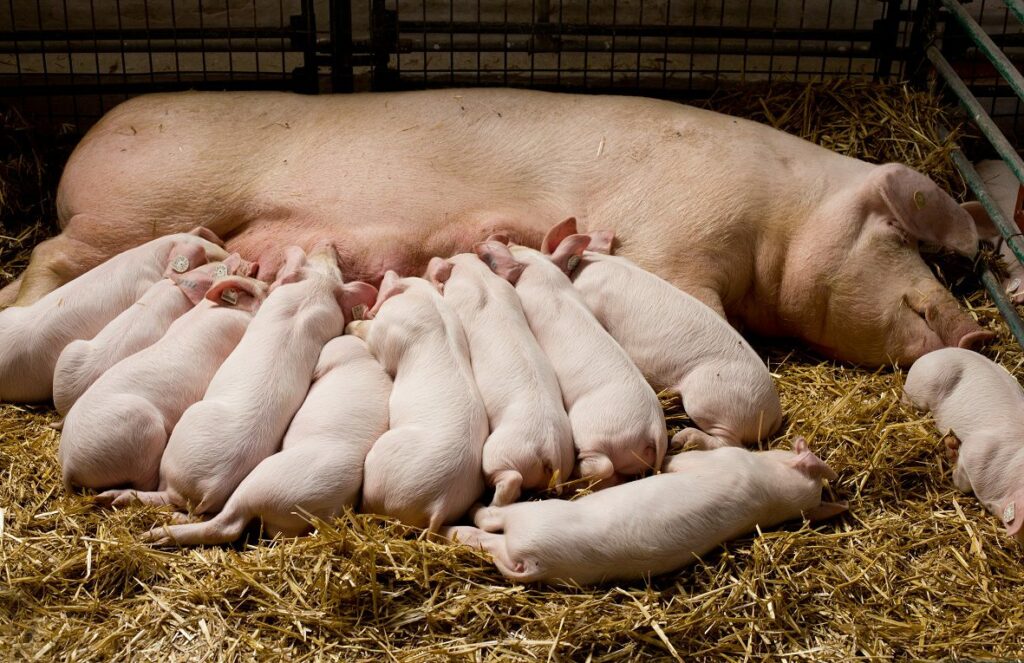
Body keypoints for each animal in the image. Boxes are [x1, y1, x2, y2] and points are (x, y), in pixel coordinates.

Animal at [3, 89, 995, 366]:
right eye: (897, 238)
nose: (980, 329)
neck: (779, 222)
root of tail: (85, 141)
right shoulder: (680, 233)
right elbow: (693, 305)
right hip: (133, 211)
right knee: (49, 255)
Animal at [442, 438, 846, 585]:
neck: (772, 496)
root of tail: (537, 563)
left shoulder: (720, 460)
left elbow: (681, 462)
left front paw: (666, 458)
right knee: (491, 543)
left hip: (532, 517)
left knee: (489, 522)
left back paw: (461, 520)